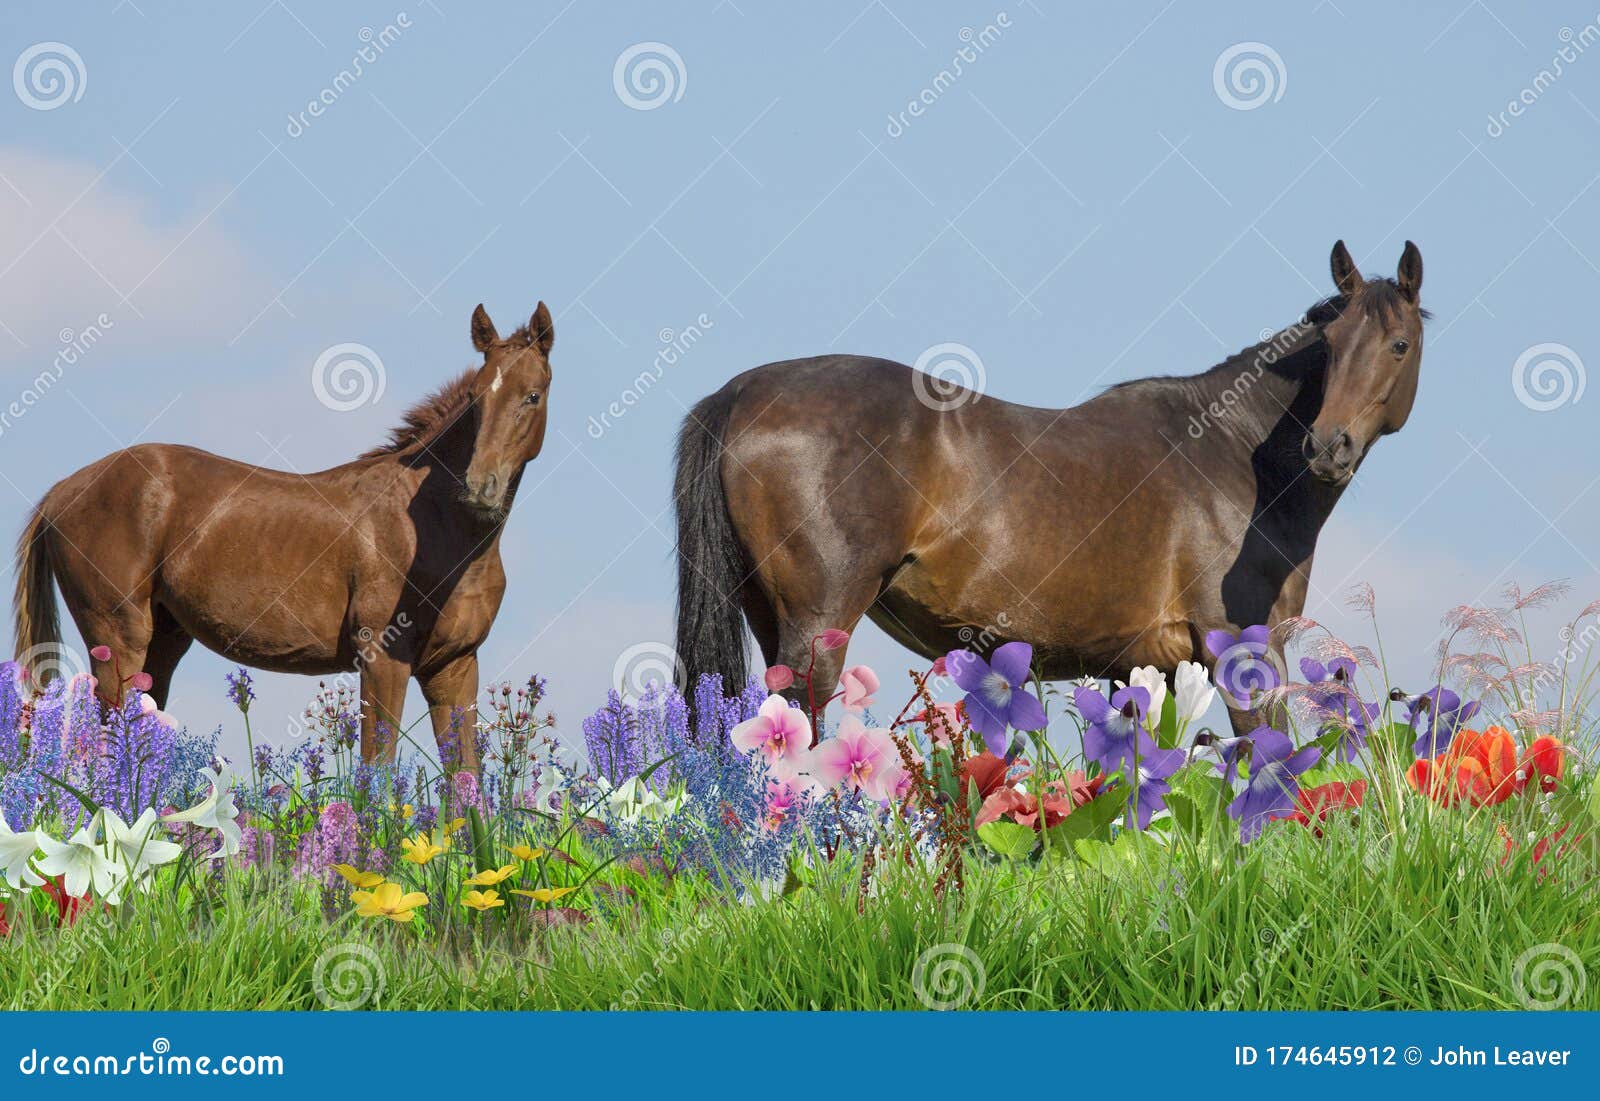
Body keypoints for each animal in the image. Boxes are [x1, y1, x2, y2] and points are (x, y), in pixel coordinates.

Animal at [13, 301, 555, 770]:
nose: (480, 488)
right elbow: (378, 775)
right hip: (118, 638)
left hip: (163, 643)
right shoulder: (381, 658)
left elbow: (466, 785)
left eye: (532, 395)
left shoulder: (454, 667)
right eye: (477, 400)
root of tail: (63, 489)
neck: (439, 532)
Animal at [674, 241, 1426, 737]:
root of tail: (737, 393)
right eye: (1331, 345)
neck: (1232, 452)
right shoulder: (1242, 649)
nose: (1326, 447)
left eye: (1398, 345)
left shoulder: (1140, 666)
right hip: (818, 625)